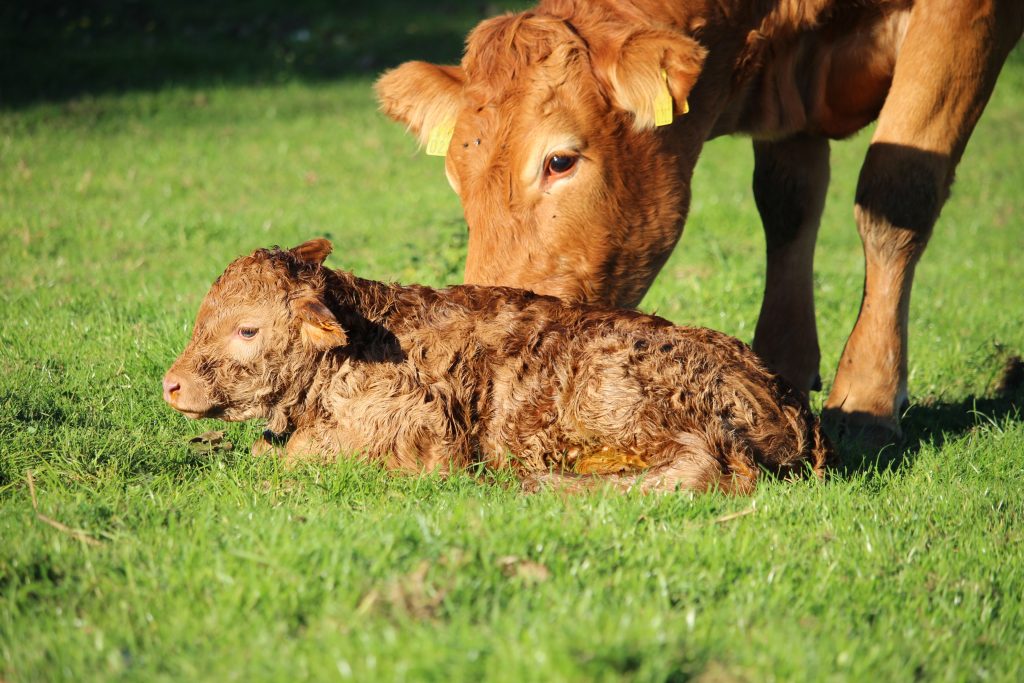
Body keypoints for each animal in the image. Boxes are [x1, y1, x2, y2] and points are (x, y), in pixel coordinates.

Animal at [162, 239, 834, 493]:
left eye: (247, 329)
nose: (172, 383)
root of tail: (785, 402)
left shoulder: (419, 436)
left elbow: (288, 459)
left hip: (619, 402)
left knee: (703, 471)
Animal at [375, 0, 1023, 443]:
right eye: (456, 173)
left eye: (558, 161)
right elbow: (788, 206)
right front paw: (782, 372)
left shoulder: (961, 21)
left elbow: (897, 189)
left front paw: (869, 399)